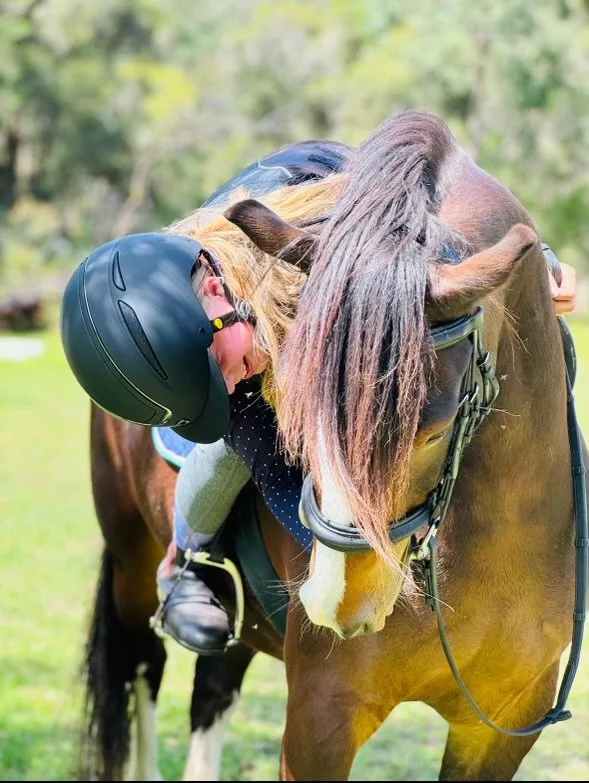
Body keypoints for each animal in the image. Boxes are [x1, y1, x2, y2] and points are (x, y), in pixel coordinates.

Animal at [79, 110, 587, 781]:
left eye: (434, 428)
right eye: (296, 417)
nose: (338, 606)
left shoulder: (501, 724)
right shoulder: (321, 717)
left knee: (211, 690)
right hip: (133, 566)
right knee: (144, 670)